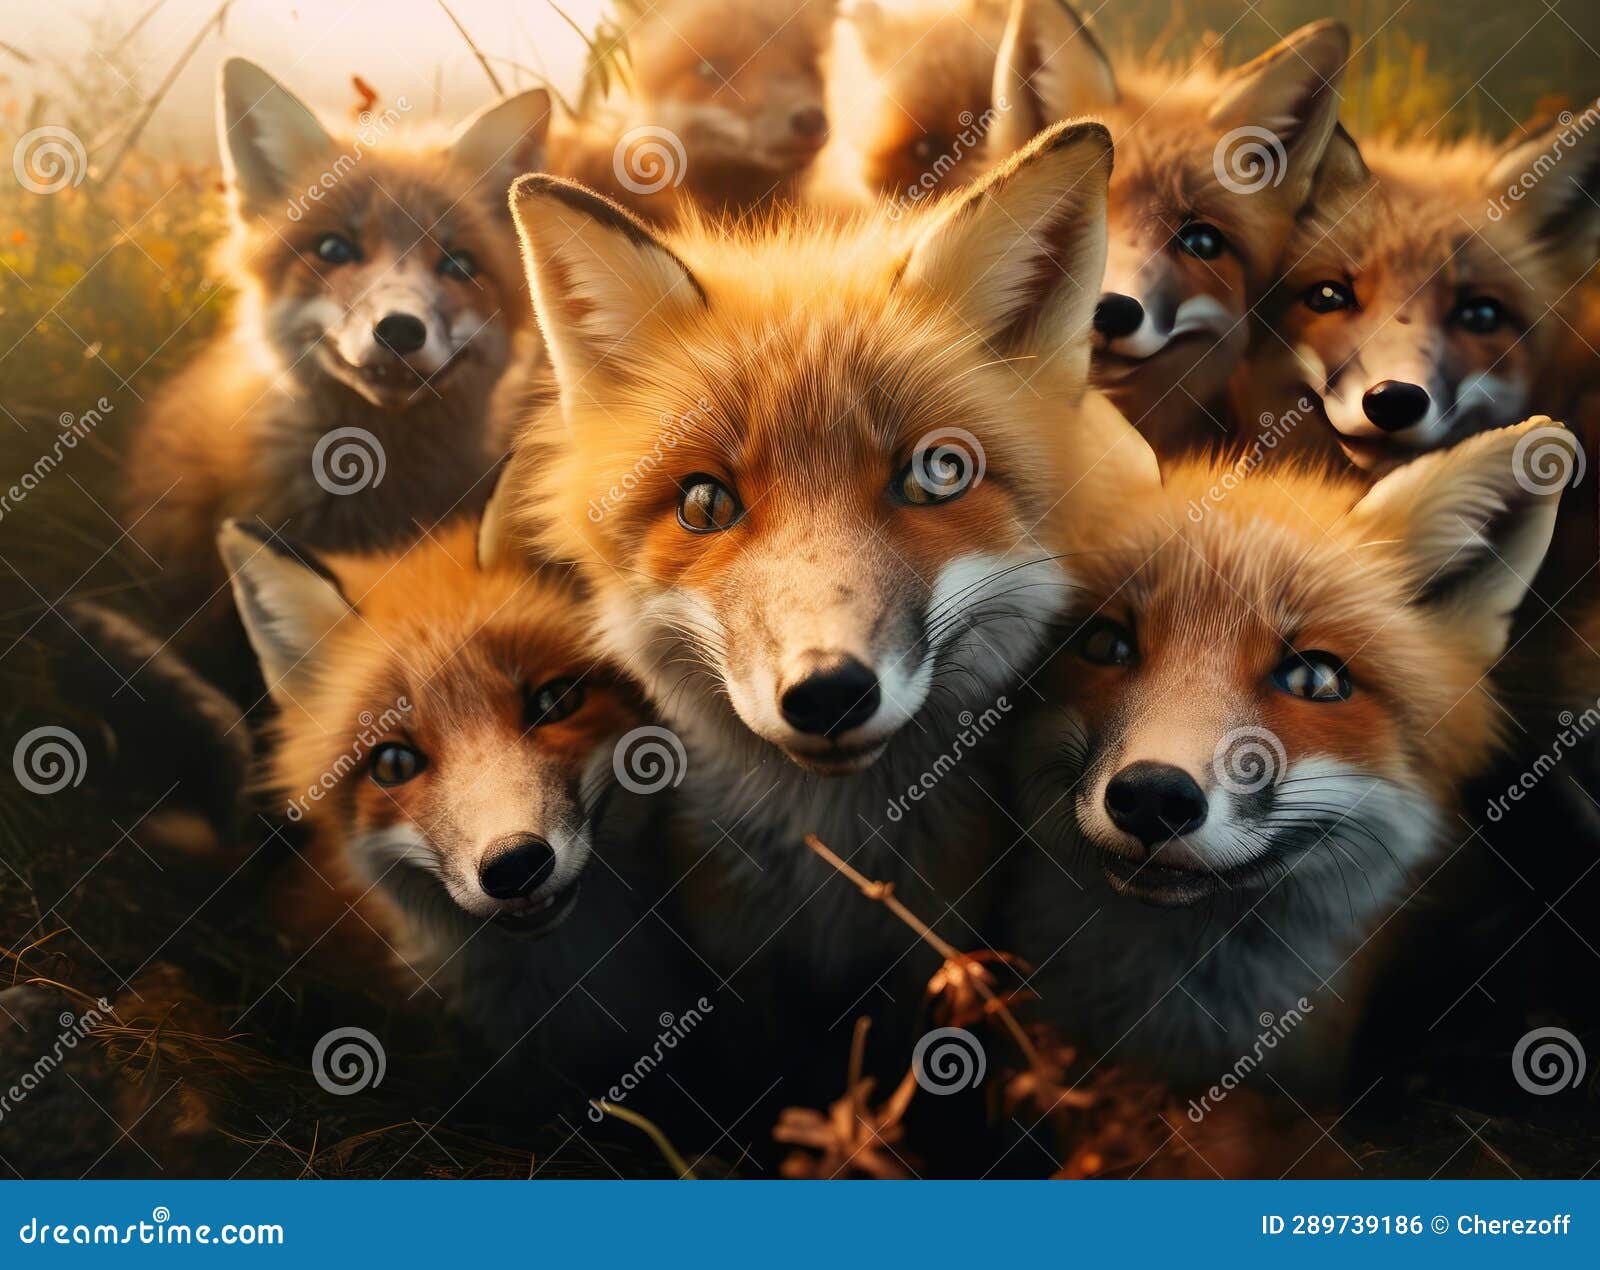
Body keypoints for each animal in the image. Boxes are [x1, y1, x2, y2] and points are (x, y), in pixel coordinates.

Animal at [502, 123, 1137, 1056]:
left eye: (938, 473)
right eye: (704, 503)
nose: (828, 692)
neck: (832, 874)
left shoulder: (933, 947)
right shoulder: (735, 962)